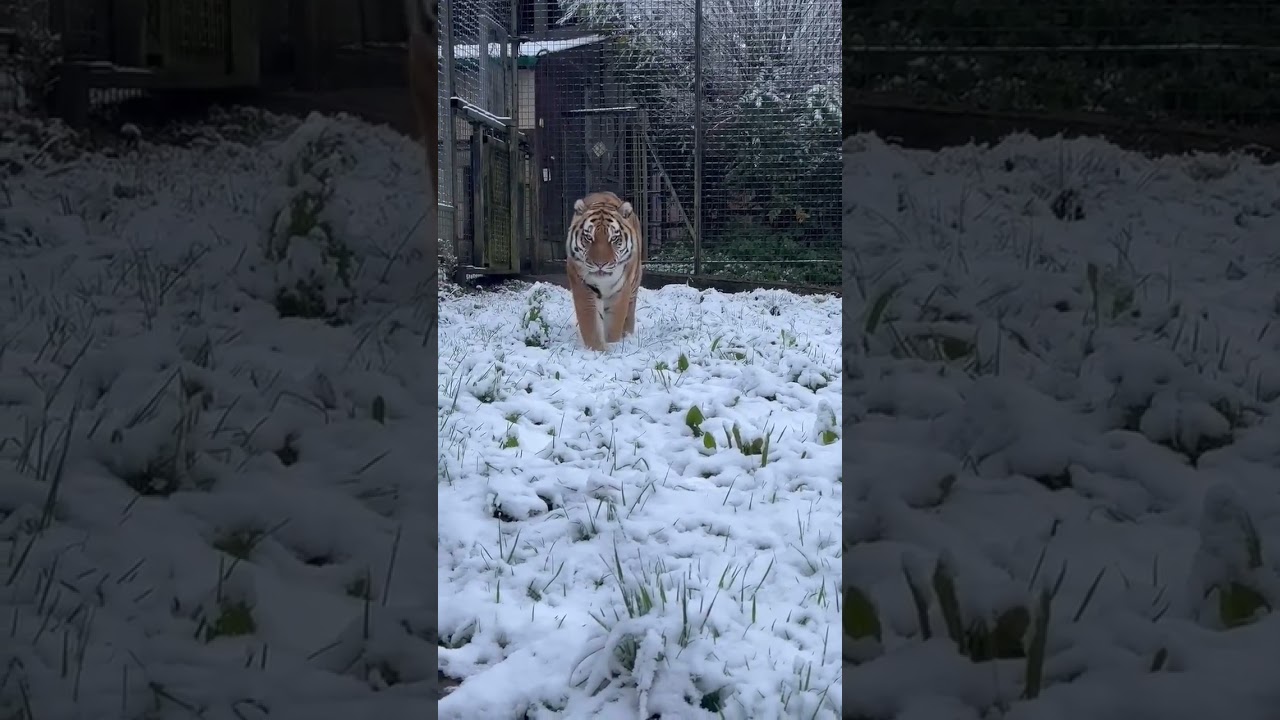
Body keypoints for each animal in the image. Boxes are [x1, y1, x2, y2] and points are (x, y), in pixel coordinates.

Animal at [565, 191, 645, 351]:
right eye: (588, 237)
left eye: (614, 238)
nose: (600, 264)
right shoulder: (583, 286)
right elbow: (590, 323)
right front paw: (597, 350)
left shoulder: (621, 290)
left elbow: (614, 324)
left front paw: (613, 345)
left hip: (634, 283)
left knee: (630, 309)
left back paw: (627, 334)